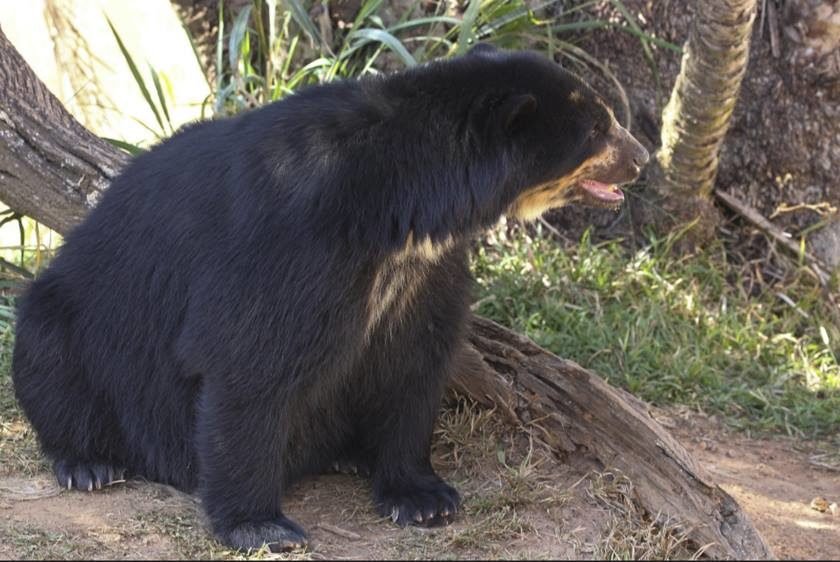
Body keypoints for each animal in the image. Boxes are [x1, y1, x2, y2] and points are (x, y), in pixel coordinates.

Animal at [11, 46, 648, 552]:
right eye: (598, 129)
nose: (641, 158)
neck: (399, 212)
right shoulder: (290, 242)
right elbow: (245, 360)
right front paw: (262, 527)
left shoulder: (424, 274)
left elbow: (414, 363)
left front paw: (423, 497)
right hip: (70, 321)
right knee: (52, 363)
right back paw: (89, 463)